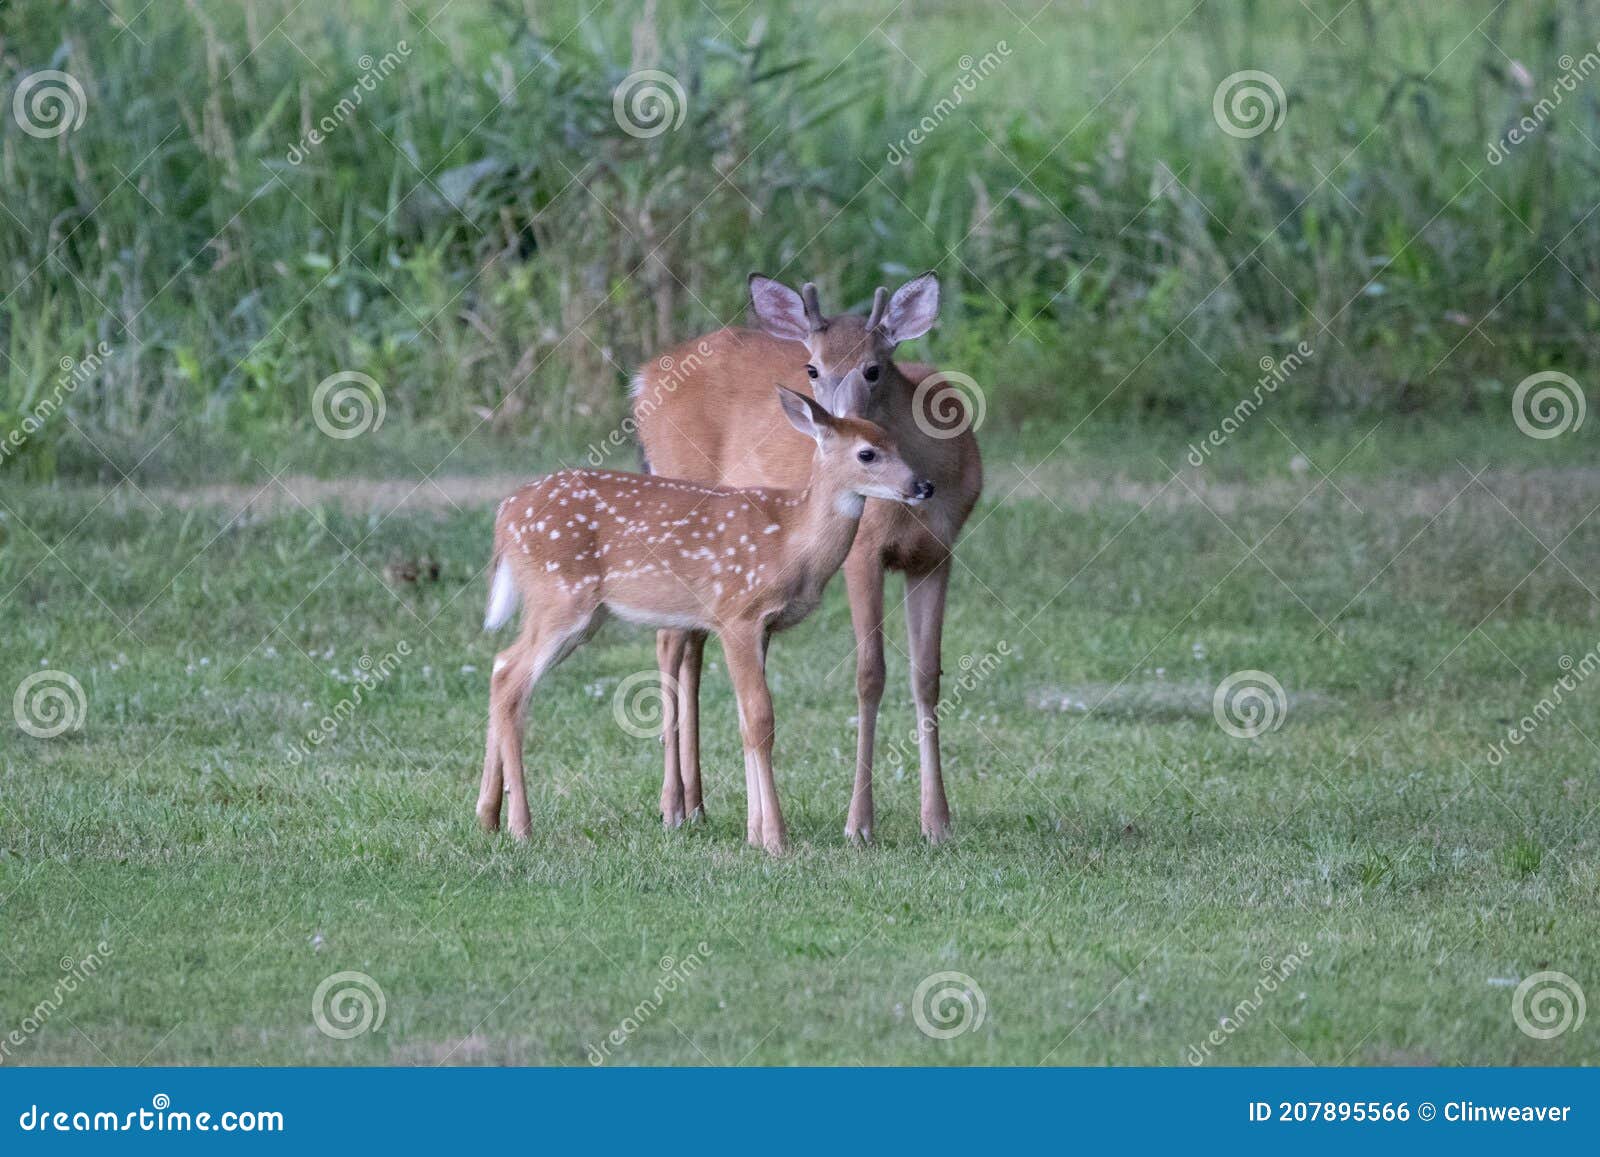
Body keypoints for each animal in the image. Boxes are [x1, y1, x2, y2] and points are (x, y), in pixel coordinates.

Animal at [476, 381, 933, 855]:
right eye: (867, 454)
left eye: (895, 443)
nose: (923, 485)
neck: (791, 543)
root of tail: (504, 515)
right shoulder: (738, 613)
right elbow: (761, 719)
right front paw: (775, 838)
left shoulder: (761, 627)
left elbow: (743, 722)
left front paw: (754, 833)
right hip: (561, 597)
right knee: (512, 678)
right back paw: (521, 826)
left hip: (572, 612)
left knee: (501, 666)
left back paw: (488, 816)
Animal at [633, 272, 982, 843]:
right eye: (811, 367)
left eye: (873, 367)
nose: (832, 426)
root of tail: (643, 378)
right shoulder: (863, 551)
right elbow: (870, 674)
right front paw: (859, 823)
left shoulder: (938, 553)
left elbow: (927, 676)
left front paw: (937, 821)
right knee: (669, 640)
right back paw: (672, 806)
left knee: (692, 645)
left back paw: (697, 803)